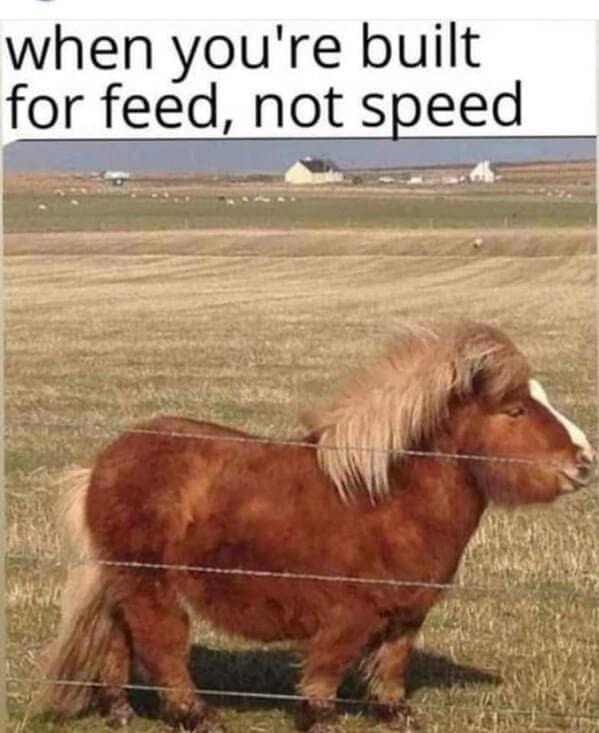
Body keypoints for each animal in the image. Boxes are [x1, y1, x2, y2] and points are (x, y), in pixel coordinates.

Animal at [40, 322, 595, 732]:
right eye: (516, 410)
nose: (585, 461)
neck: (387, 496)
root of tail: (105, 460)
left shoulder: (407, 614)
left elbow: (392, 667)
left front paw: (396, 715)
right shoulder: (347, 615)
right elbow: (326, 674)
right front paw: (321, 718)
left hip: (122, 582)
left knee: (117, 640)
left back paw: (119, 711)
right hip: (148, 583)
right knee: (162, 646)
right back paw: (195, 714)